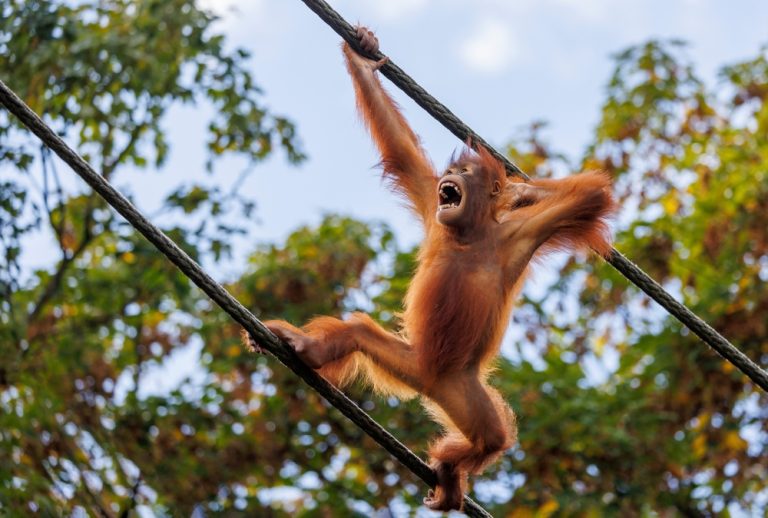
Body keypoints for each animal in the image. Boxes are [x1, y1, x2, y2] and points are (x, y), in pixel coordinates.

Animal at [246, 27, 616, 511]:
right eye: (450, 171)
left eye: (464, 171)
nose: (451, 177)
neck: (467, 233)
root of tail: (427, 380)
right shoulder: (430, 200)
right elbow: (403, 154)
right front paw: (363, 57)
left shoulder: (528, 232)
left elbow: (591, 194)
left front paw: (518, 190)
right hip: (406, 360)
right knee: (359, 333)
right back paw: (308, 348)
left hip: (462, 390)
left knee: (493, 438)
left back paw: (449, 469)